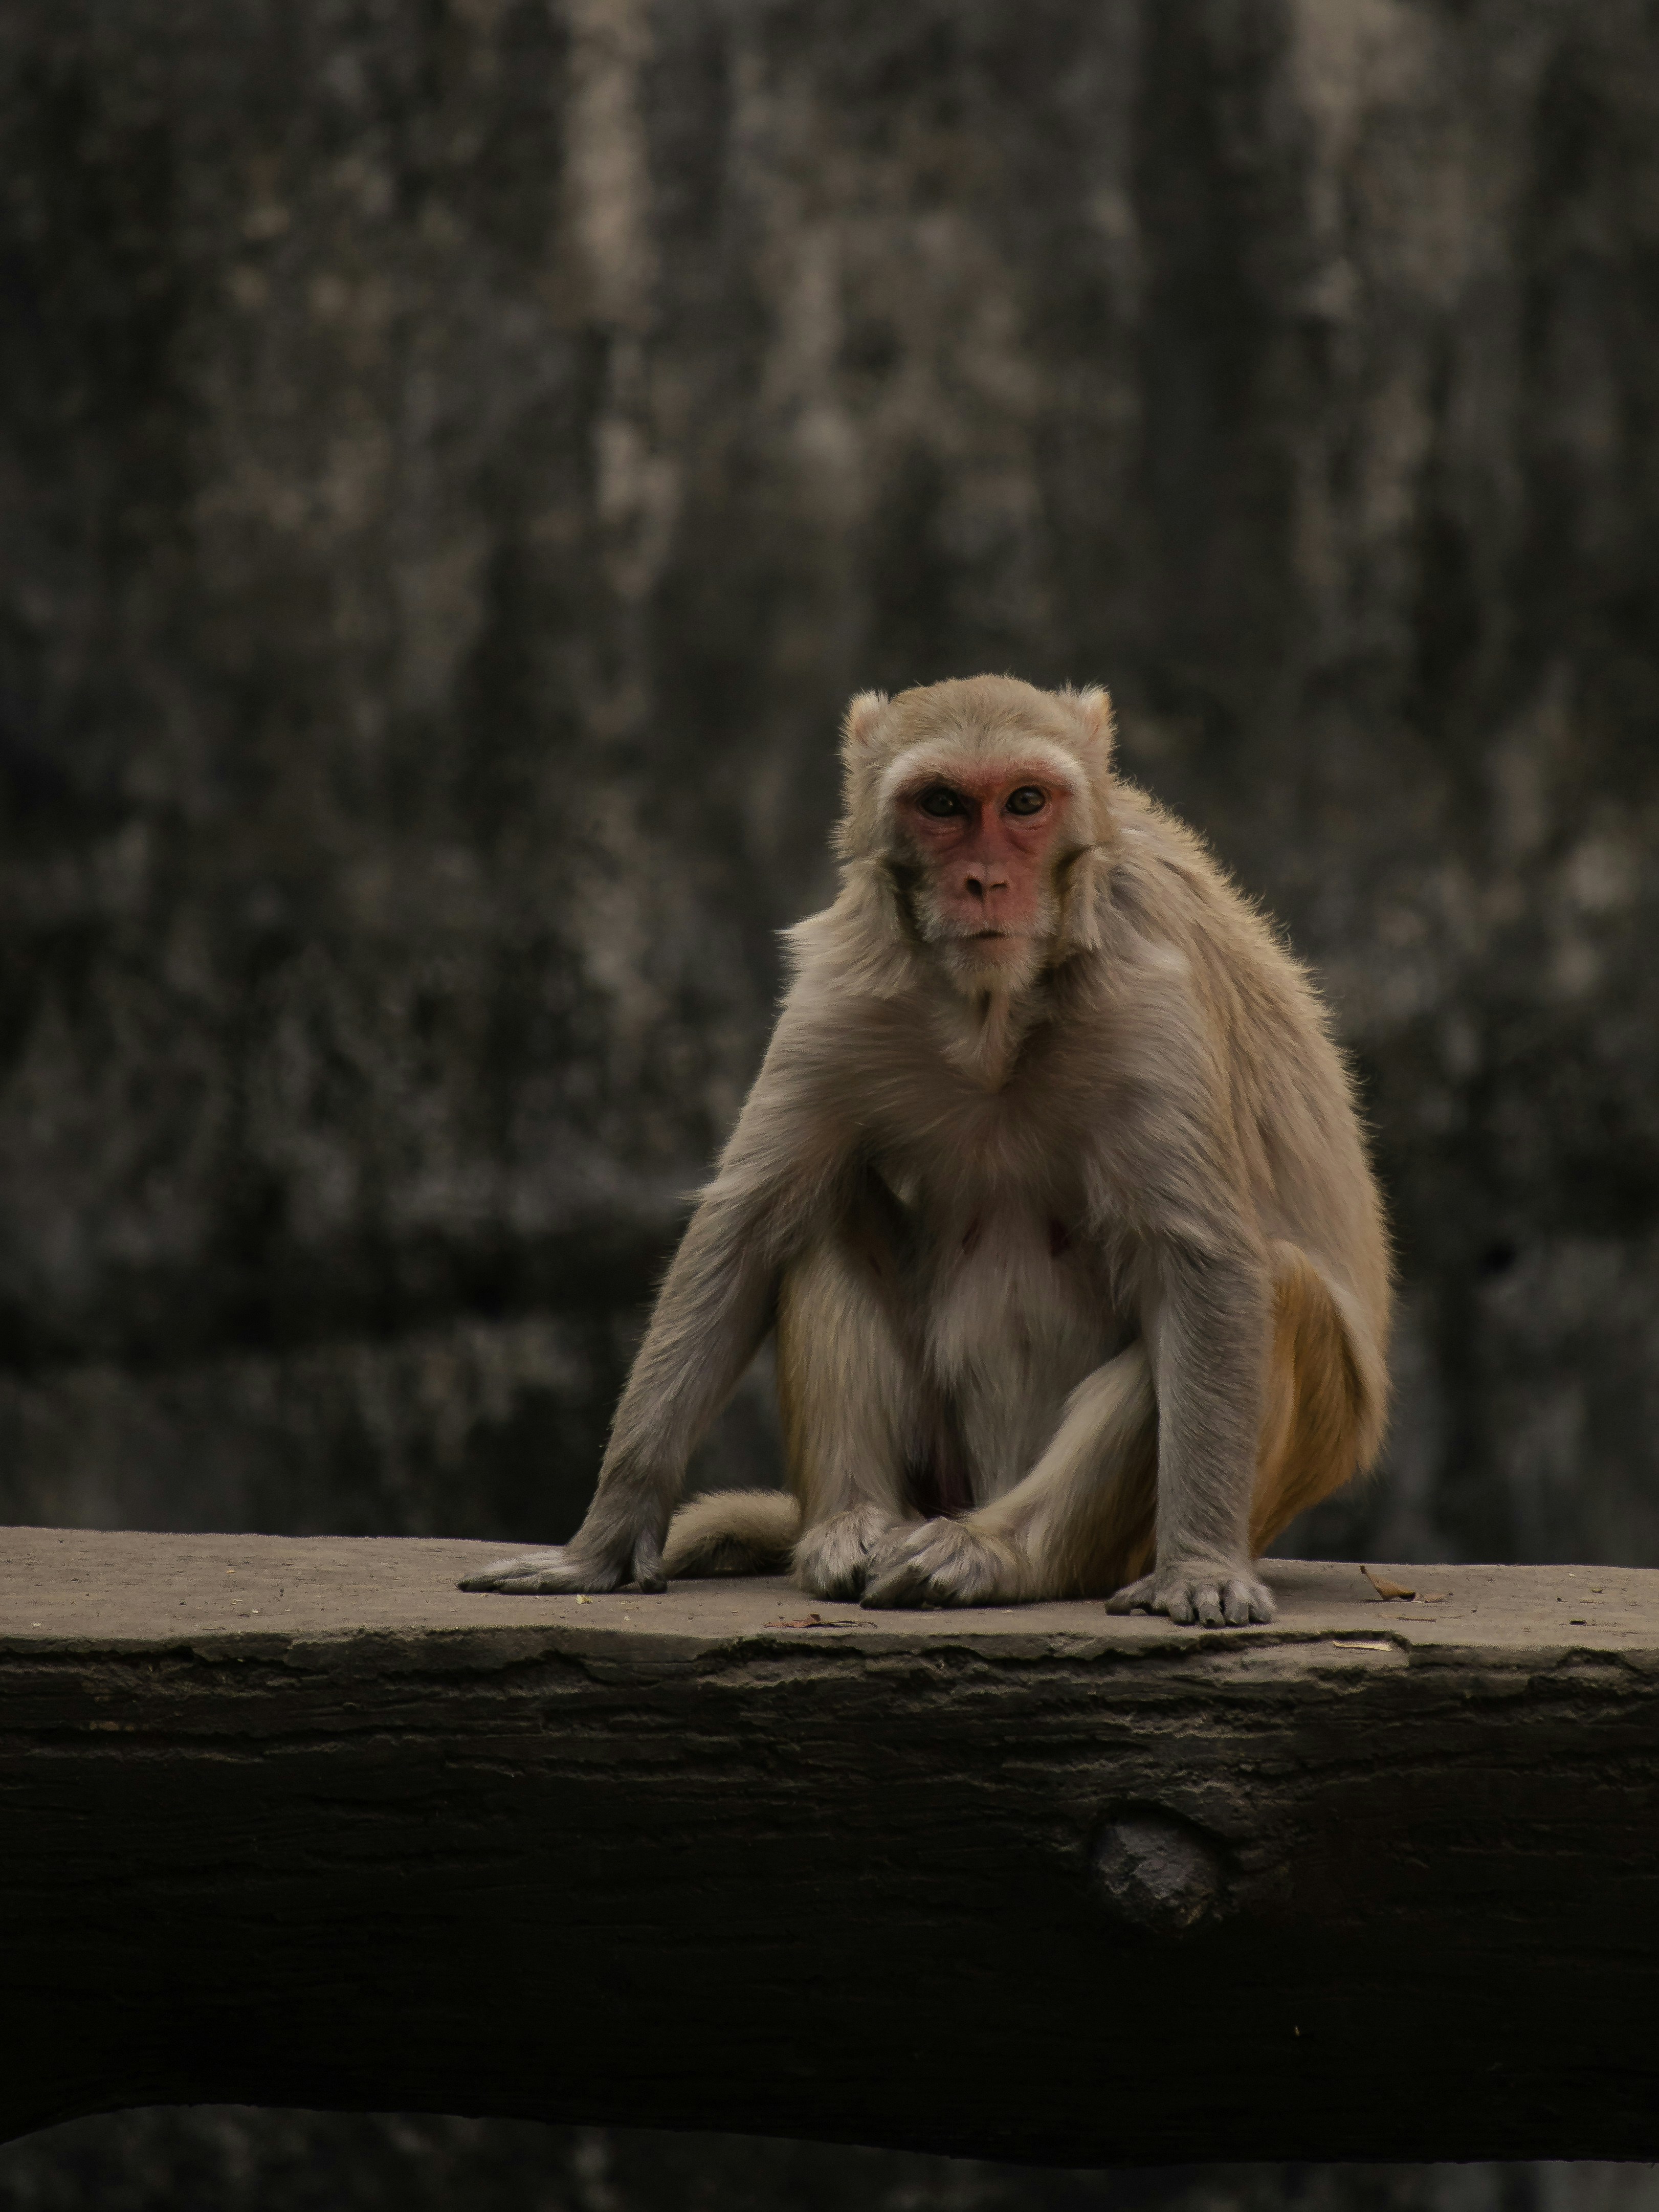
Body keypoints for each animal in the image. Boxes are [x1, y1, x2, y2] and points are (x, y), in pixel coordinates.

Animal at [461, 675, 1391, 1625]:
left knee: (1278, 1288)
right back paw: (851, 1527)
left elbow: (1202, 1263)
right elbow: (744, 1232)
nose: (985, 880)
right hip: (941, 1467)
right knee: (817, 1212)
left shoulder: (1147, 986)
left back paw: (1001, 1553)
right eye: (942, 804)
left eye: (1024, 801)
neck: (994, 1013)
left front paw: (1199, 1562)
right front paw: (604, 1540)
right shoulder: (846, 982)